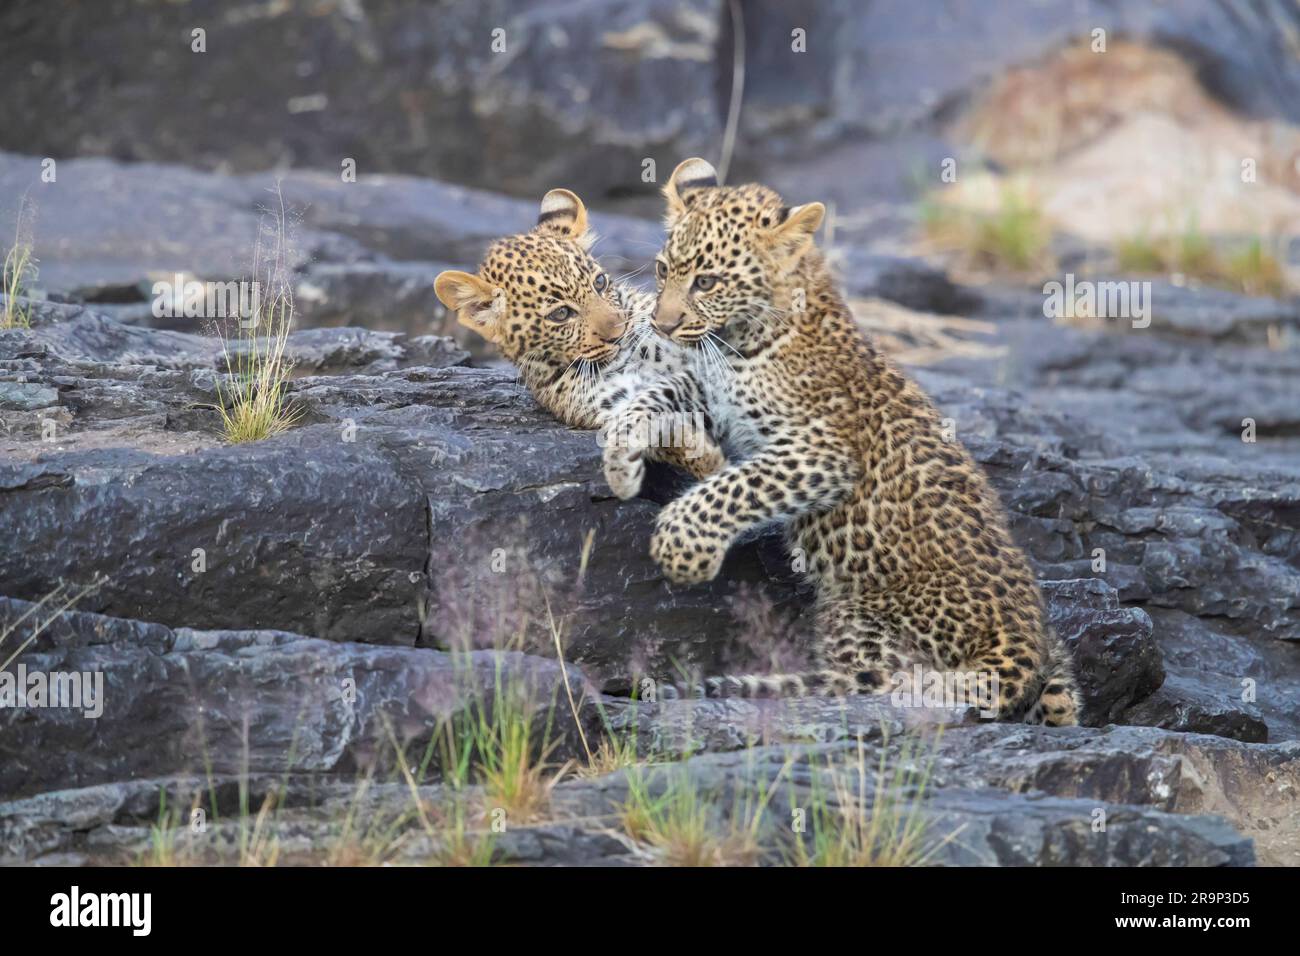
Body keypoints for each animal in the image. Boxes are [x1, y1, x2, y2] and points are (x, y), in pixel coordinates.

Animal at [434, 188, 726, 490]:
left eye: (599, 283)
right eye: (561, 314)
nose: (619, 332)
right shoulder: (612, 407)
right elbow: (662, 433)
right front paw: (709, 463)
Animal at [622, 158, 1081, 726]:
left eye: (706, 281)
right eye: (663, 270)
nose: (662, 324)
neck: (747, 335)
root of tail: (1021, 649)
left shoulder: (821, 451)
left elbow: (735, 487)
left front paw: (681, 549)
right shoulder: (713, 396)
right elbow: (660, 398)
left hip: (858, 620)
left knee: (872, 685)